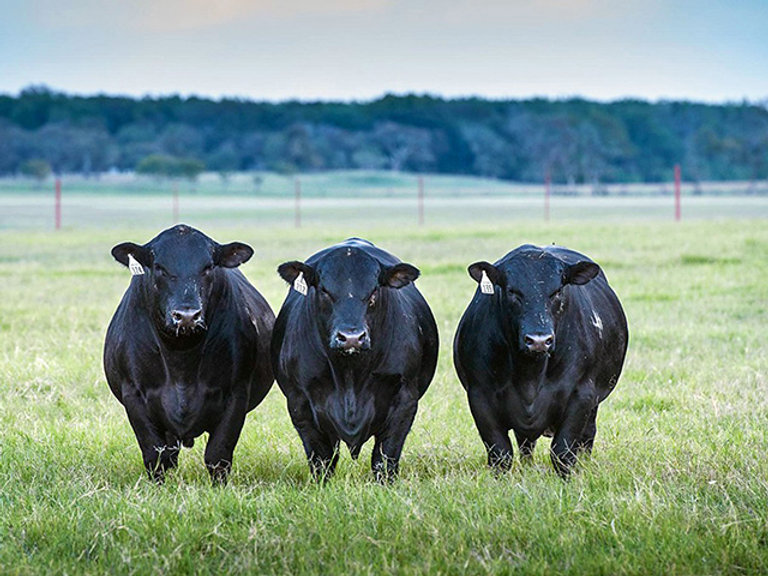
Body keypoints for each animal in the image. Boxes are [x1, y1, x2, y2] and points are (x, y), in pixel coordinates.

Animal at [104, 224, 275, 484]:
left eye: (208, 267)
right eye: (159, 267)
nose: (186, 316)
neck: (180, 356)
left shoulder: (236, 393)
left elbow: (218, 454)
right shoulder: (133, 394)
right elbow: (155, 454)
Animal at [271, 238, 439, 482]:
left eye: (374, 291)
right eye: (324, 290)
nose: (351, 337)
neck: (349, 375)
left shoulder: (405, 400)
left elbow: (385, 457)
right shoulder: (299, 402)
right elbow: (321, 459)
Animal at [453, 244, 628, 477]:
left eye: (557, 291)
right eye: (512, 291)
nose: (539, 340)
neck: (530, 377)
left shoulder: (581, 395)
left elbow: (562, 451)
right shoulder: (480, 395)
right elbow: (500, 453)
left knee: (587, 437)